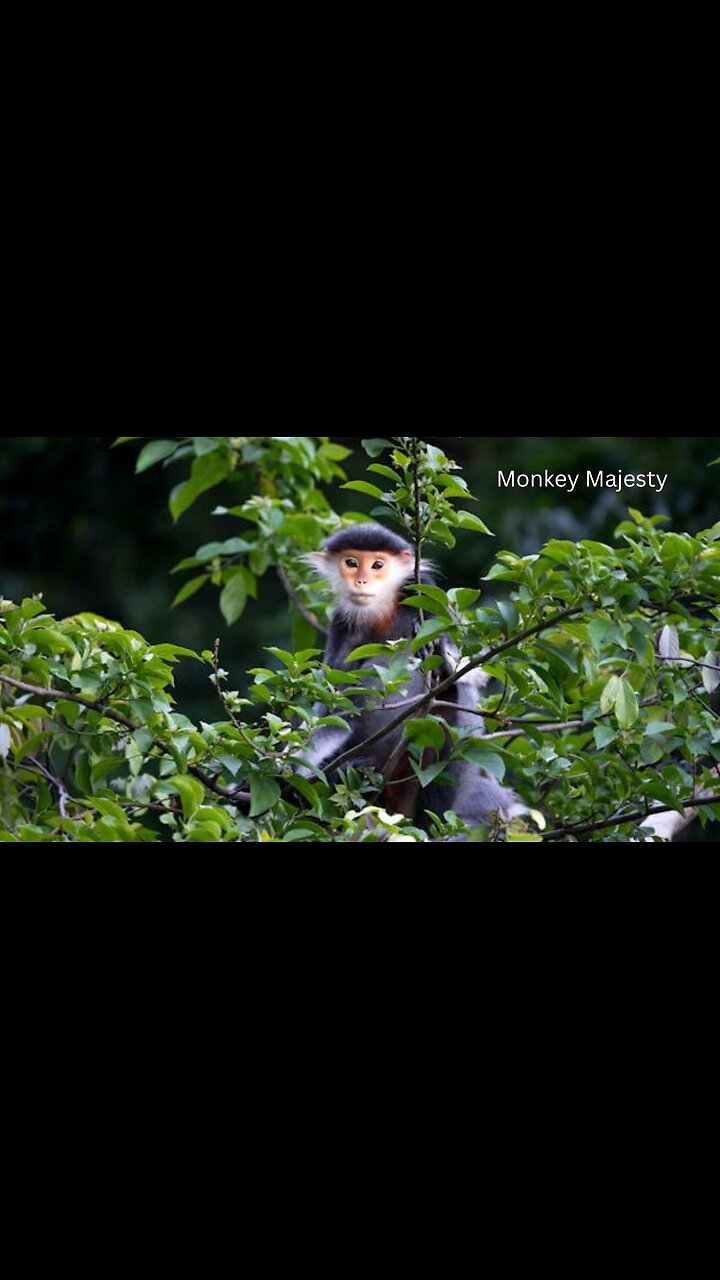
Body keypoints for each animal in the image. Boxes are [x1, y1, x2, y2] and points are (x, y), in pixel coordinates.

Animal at [301, 523, 521, 837]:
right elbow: (336, 707)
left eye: (378, 565)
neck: (383, 610)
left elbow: (472, 673)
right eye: (351, 562)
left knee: (452, 700)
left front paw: (442, 656)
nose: (362, 581)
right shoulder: (343, 623)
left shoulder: (426, 596)